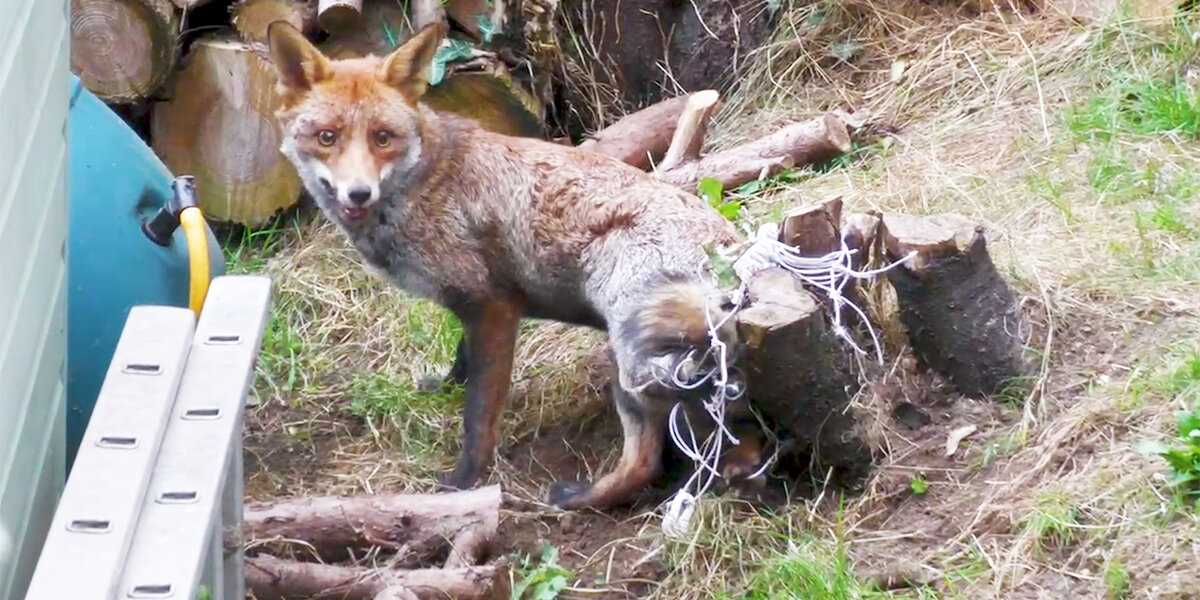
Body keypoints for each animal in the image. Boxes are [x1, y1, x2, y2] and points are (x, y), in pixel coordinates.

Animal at [266, 20, 764, 510]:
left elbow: (479, 416)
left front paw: (464, 483)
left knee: (650, 460)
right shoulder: (479, 305)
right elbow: (463, 361)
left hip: (630, 356)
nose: (357, 193)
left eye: (382, 138)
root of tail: (741, 262)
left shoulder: (493, 307)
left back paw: (579, 498)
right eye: (327, 137)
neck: (423, 184)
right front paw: (445, 388)